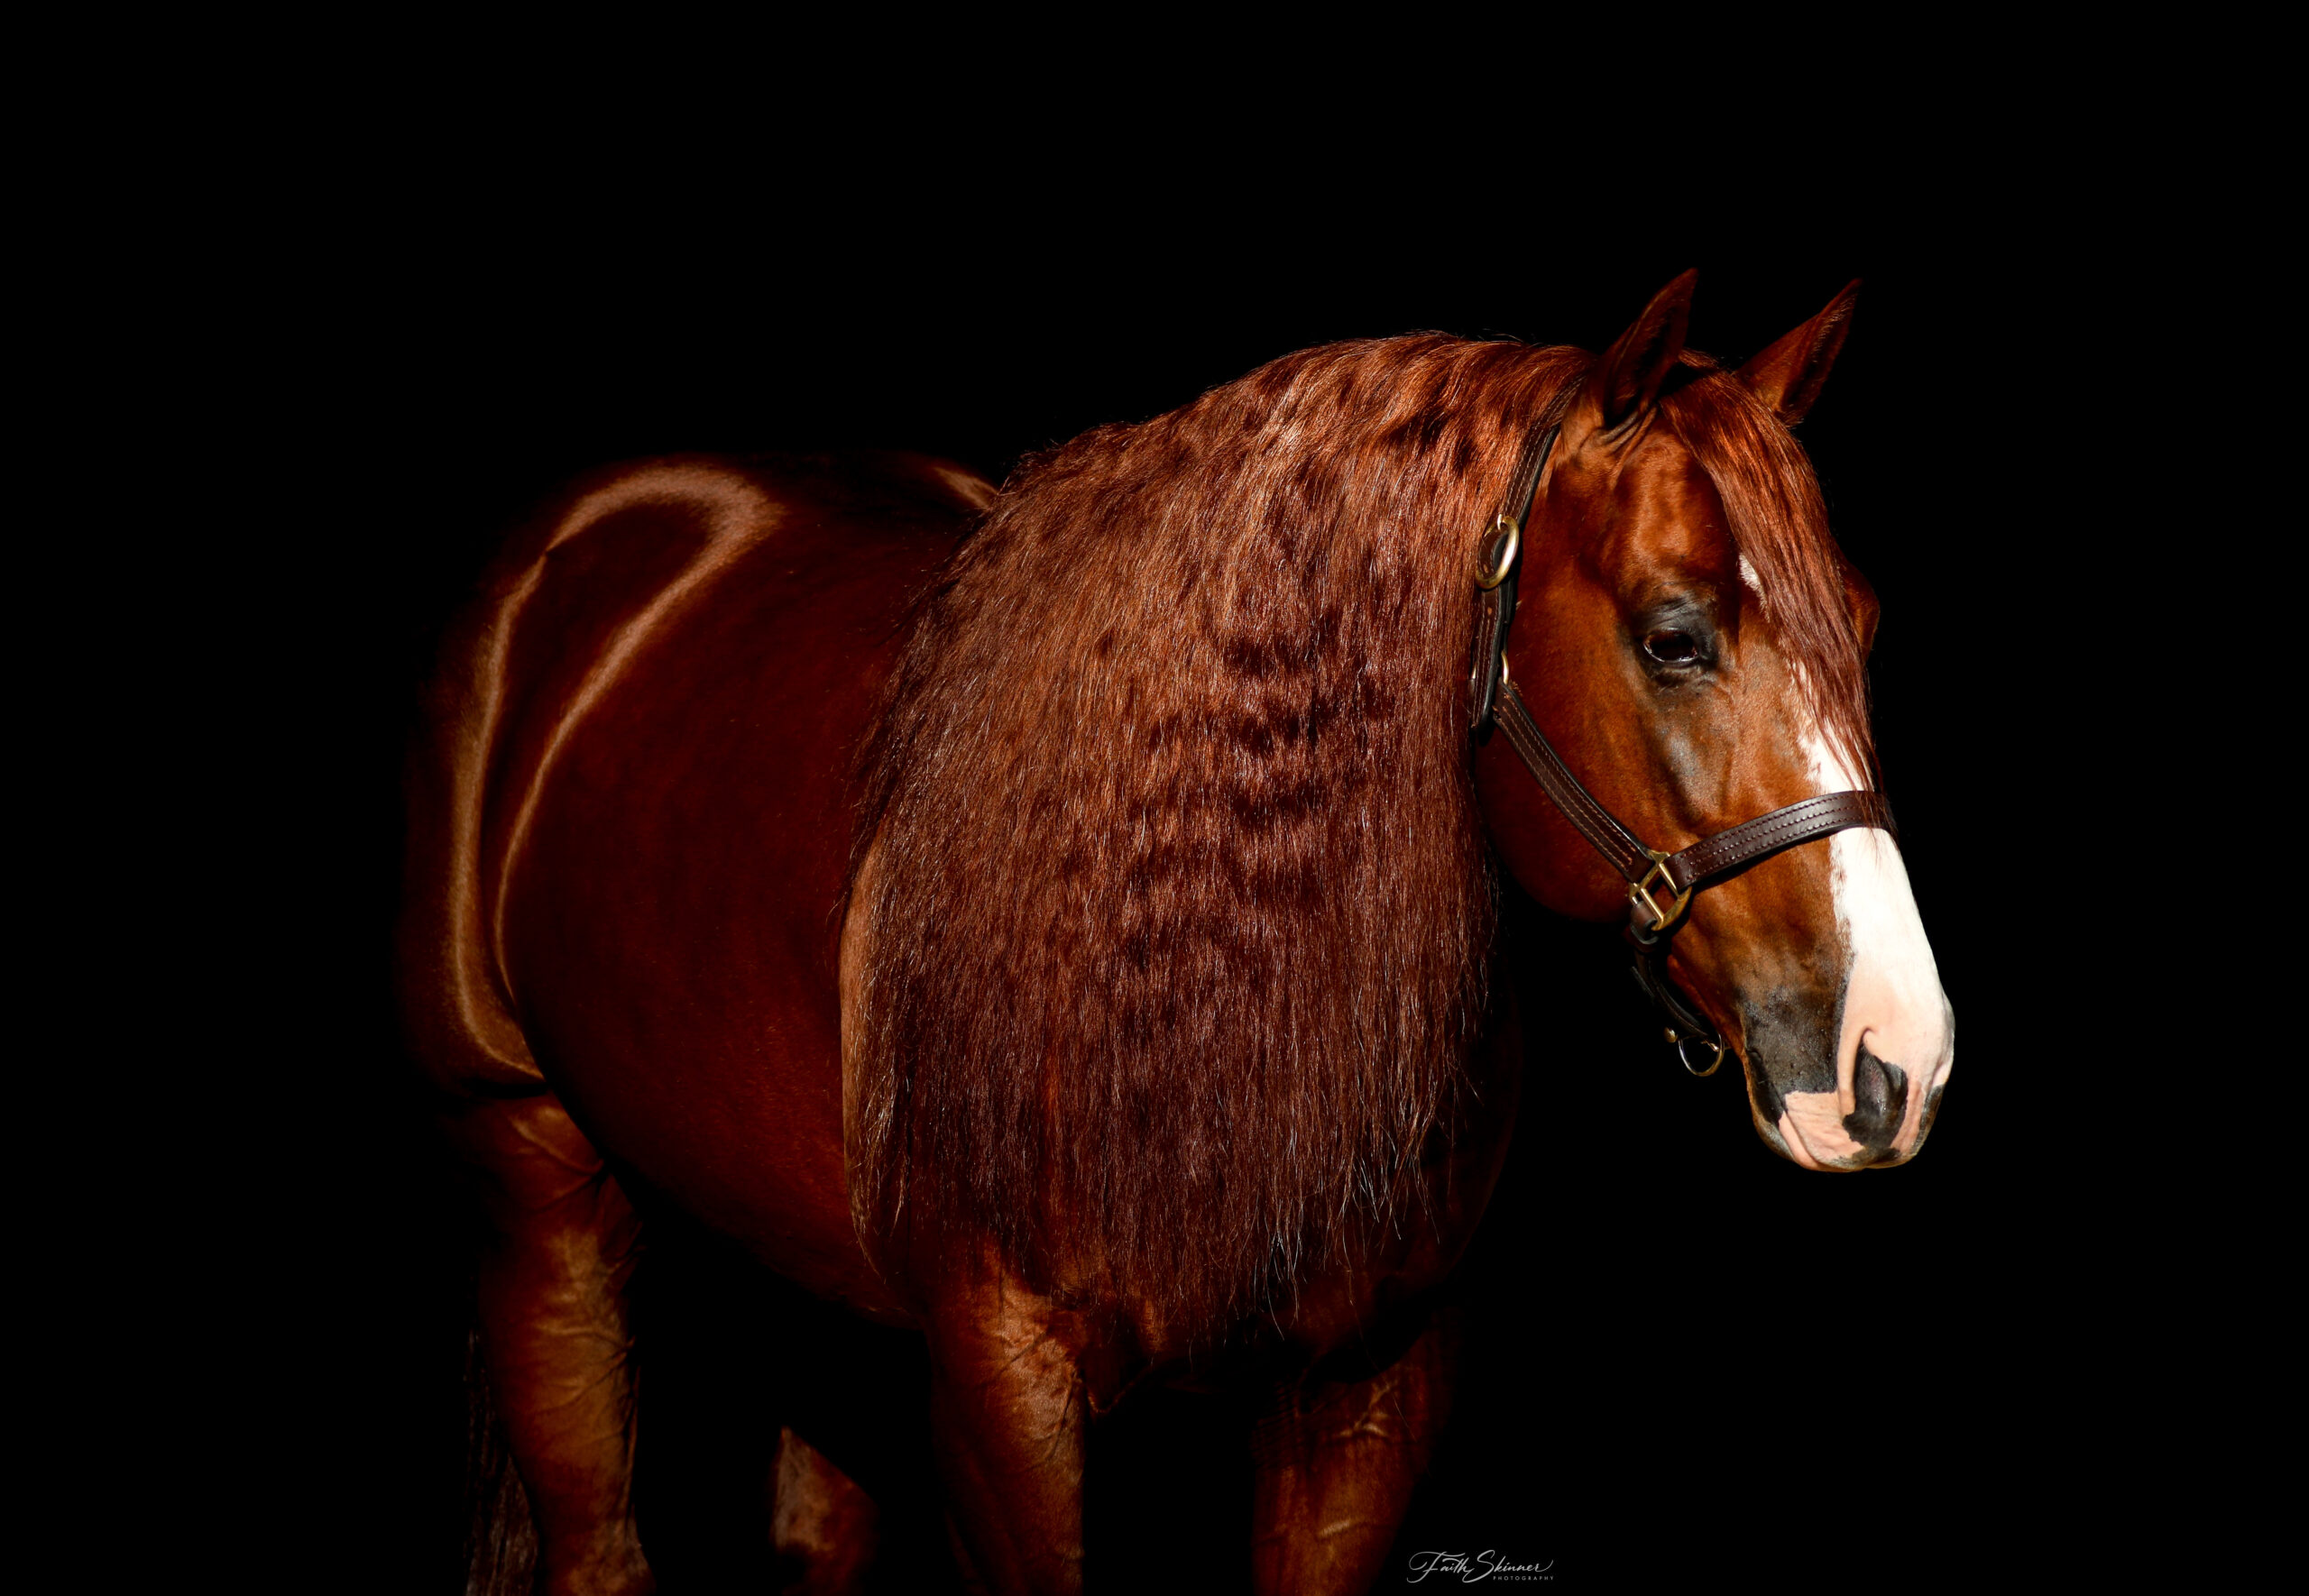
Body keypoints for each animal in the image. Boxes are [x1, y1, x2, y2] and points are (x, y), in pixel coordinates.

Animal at [398, 270, 1953, 1595]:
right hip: (533, 1176)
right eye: (1675, 633)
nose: (1898, 1062)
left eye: (1865, 625)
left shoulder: (1365, 1394)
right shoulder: (1003, 1387)